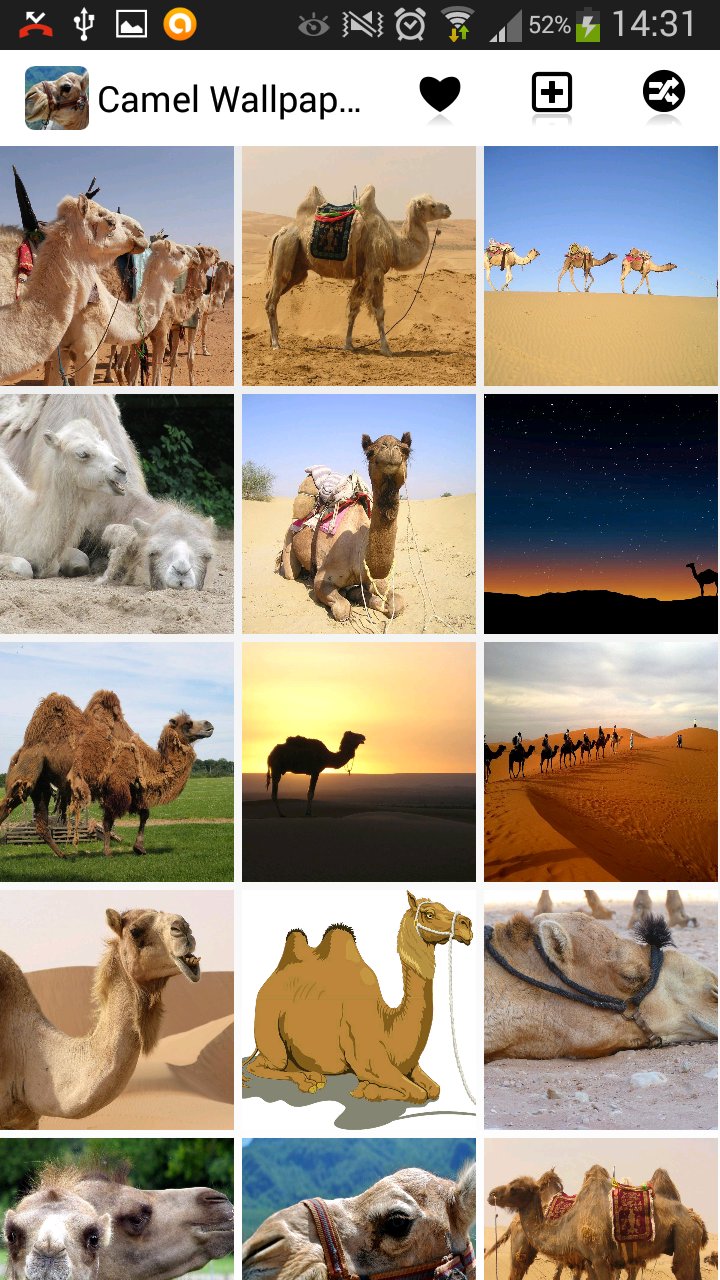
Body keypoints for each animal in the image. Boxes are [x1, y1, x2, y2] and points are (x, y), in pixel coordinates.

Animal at [244, 890, 472, 1102]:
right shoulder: (367, 1060)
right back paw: (308, 1082)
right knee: (259, 1065)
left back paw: (313, 1076)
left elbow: (434, 1088)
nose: (466, 924)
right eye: (429, 914)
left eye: (444, 905)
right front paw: (368, 1089)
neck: (388, 1024)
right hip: (268, 1026)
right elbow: (418, 1093)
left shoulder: (409, 1064)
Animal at [265, 183, 451, 355]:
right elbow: (379, 311)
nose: (448, 208)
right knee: (272, 301)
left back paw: (273, 338)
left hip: (298, 269)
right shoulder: (375, 271)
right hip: (287, 249)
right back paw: (275, 343)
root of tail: (279, 233)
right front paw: (386, 348)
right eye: (432, 205)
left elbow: (353, 309)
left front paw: (349, 345)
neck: (394, 245)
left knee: (270, 295)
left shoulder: (362, 275)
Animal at [281, 432, 410, 621]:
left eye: (406, 450)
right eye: (369, 452)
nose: (390, 447)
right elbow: (342, 609)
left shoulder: (373, 579)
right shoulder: (322, 579)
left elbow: (397, 603)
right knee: (292, 573)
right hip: (289, 537)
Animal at [488, 1163, 707, 1280]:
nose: (492, 1194)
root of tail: (695, 1218)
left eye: (515, 1188)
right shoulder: (590, 1260)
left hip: (684, 1236)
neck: (571, 1223)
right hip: (689, 1244)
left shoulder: (601, 1258)